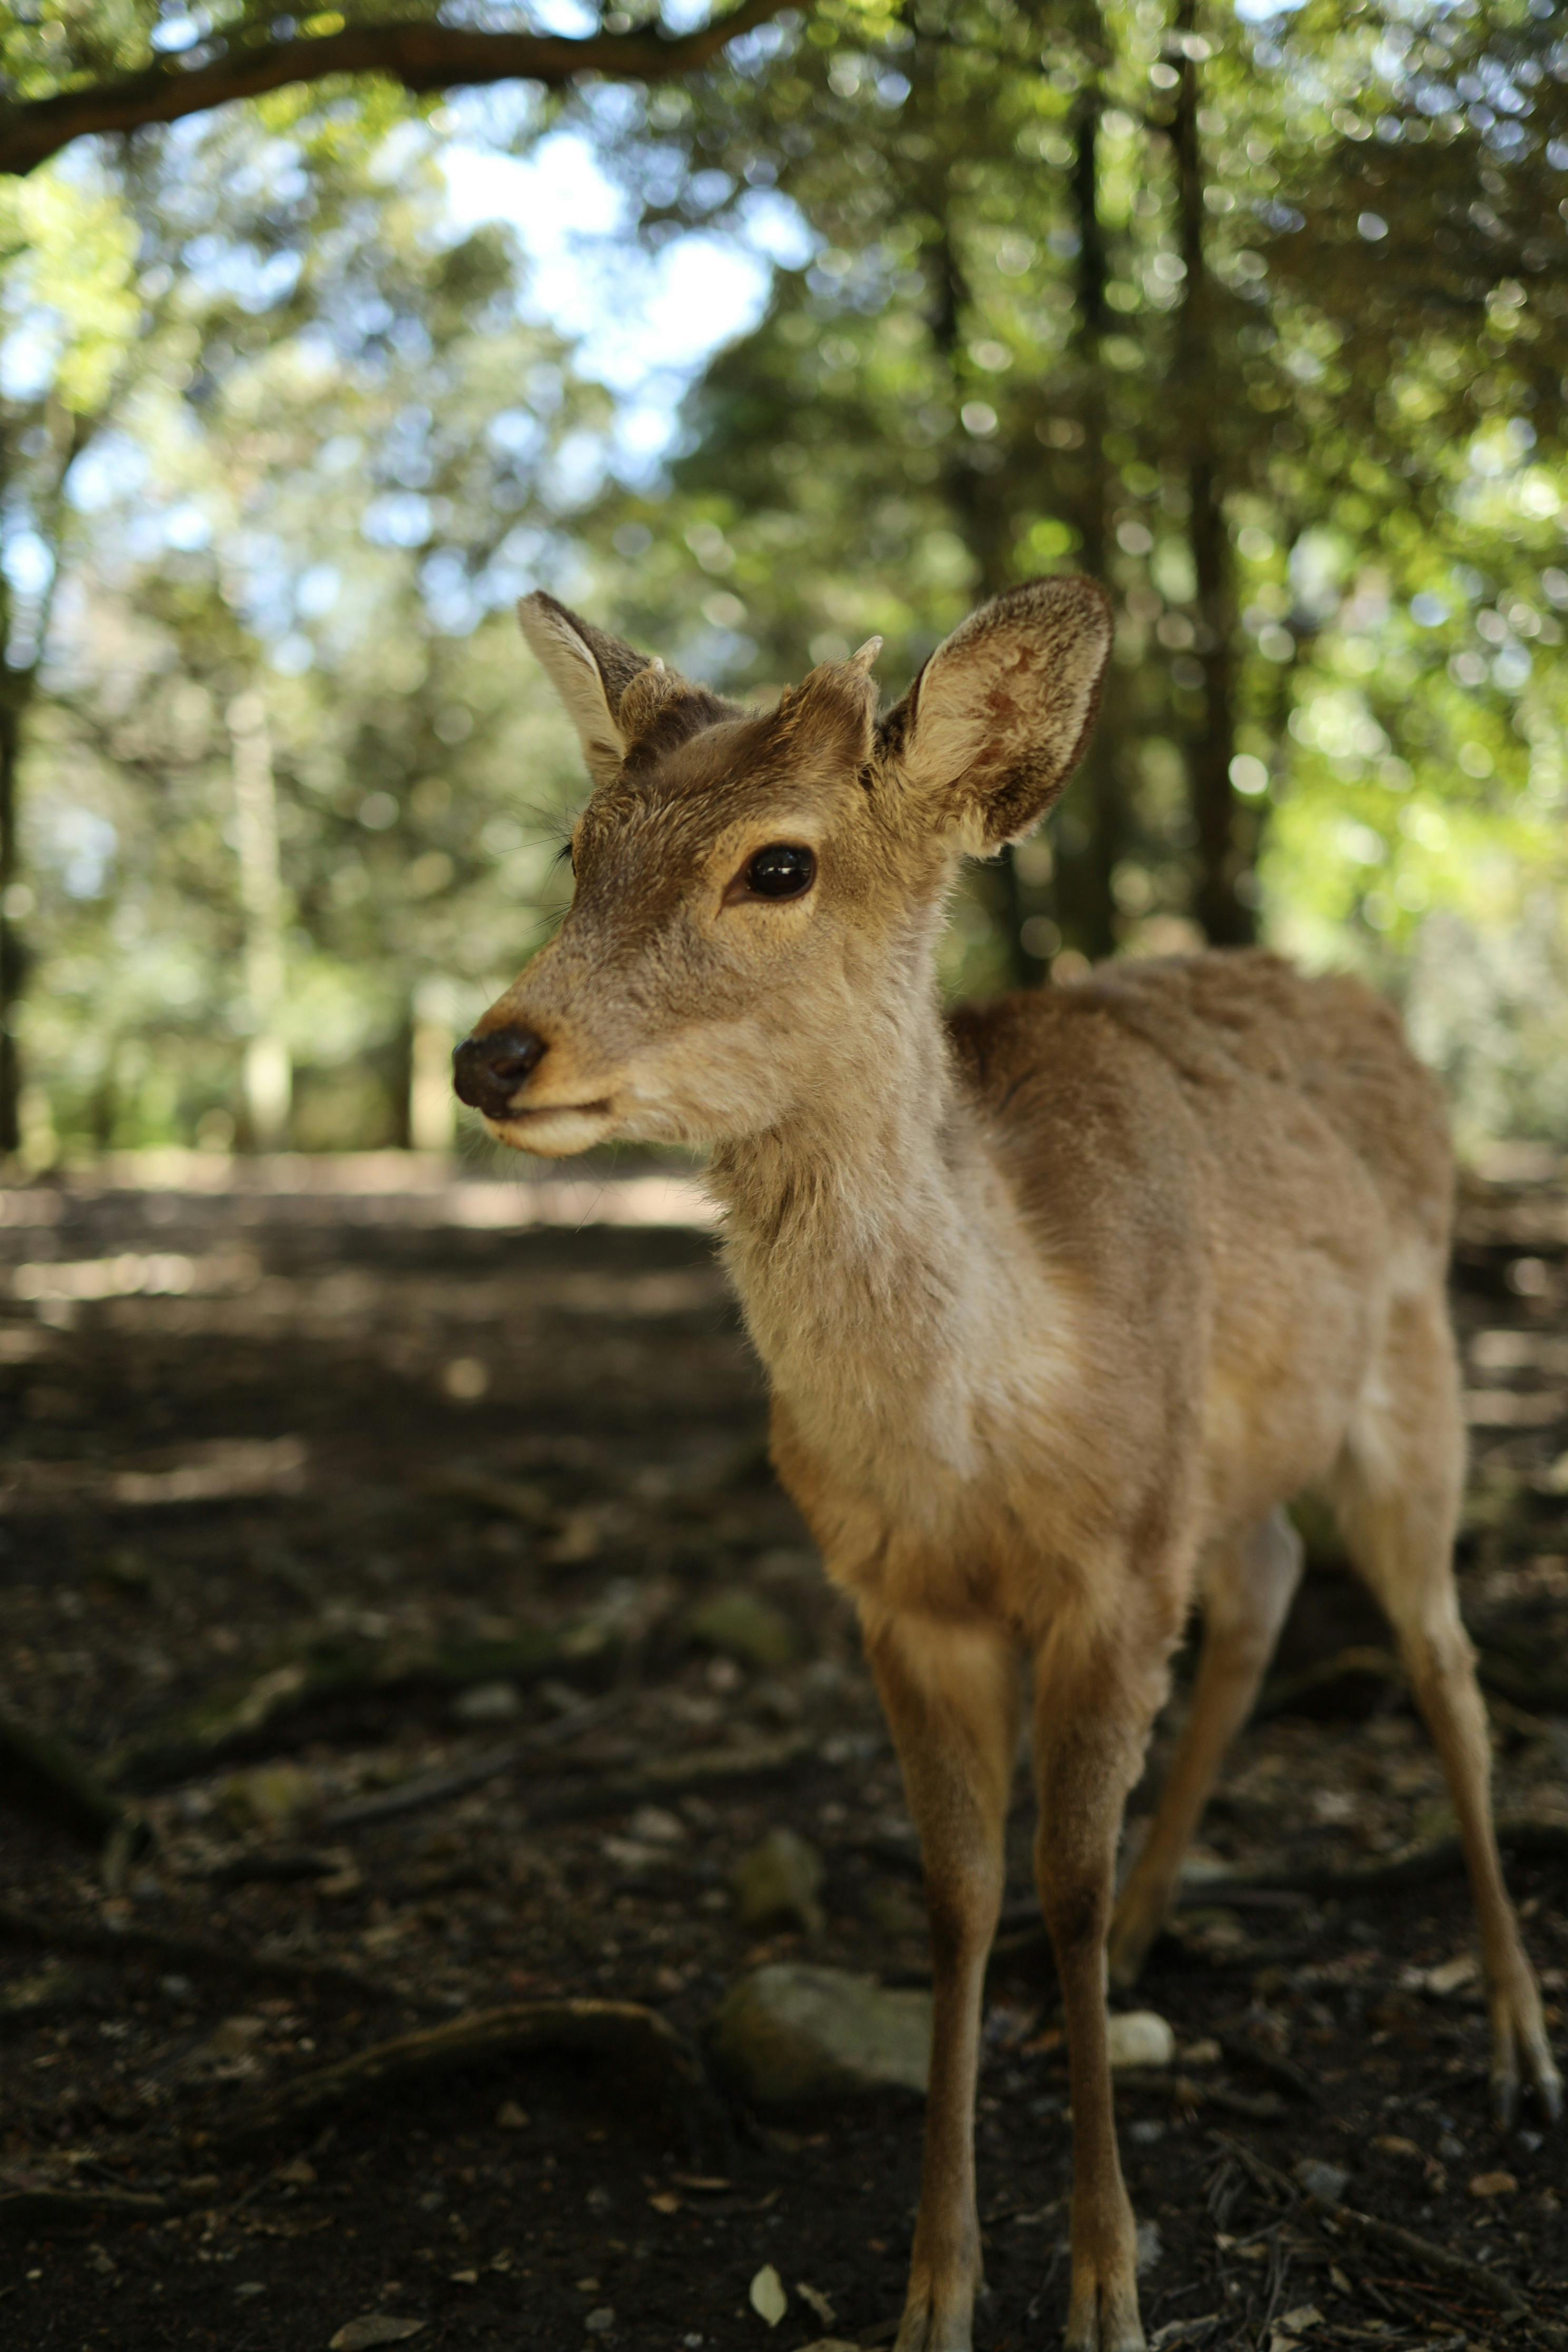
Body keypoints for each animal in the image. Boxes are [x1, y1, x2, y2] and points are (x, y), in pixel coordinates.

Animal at [452, 575, 1560, 2352]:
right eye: (576, 844)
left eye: (777, 863)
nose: (492, 1054)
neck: (988, 1429)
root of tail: (1359, 1002)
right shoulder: (902, 1600)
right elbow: (962, 1895)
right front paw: (936, 2284)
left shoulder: (1116, 1567)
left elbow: (1061, 1877)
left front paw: (1107, 2283)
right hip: (1231, 1470)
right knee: (1267, 1586)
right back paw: (1172, 1927)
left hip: (1415, 1386)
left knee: (1442, 1660)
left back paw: (1520, 2047)